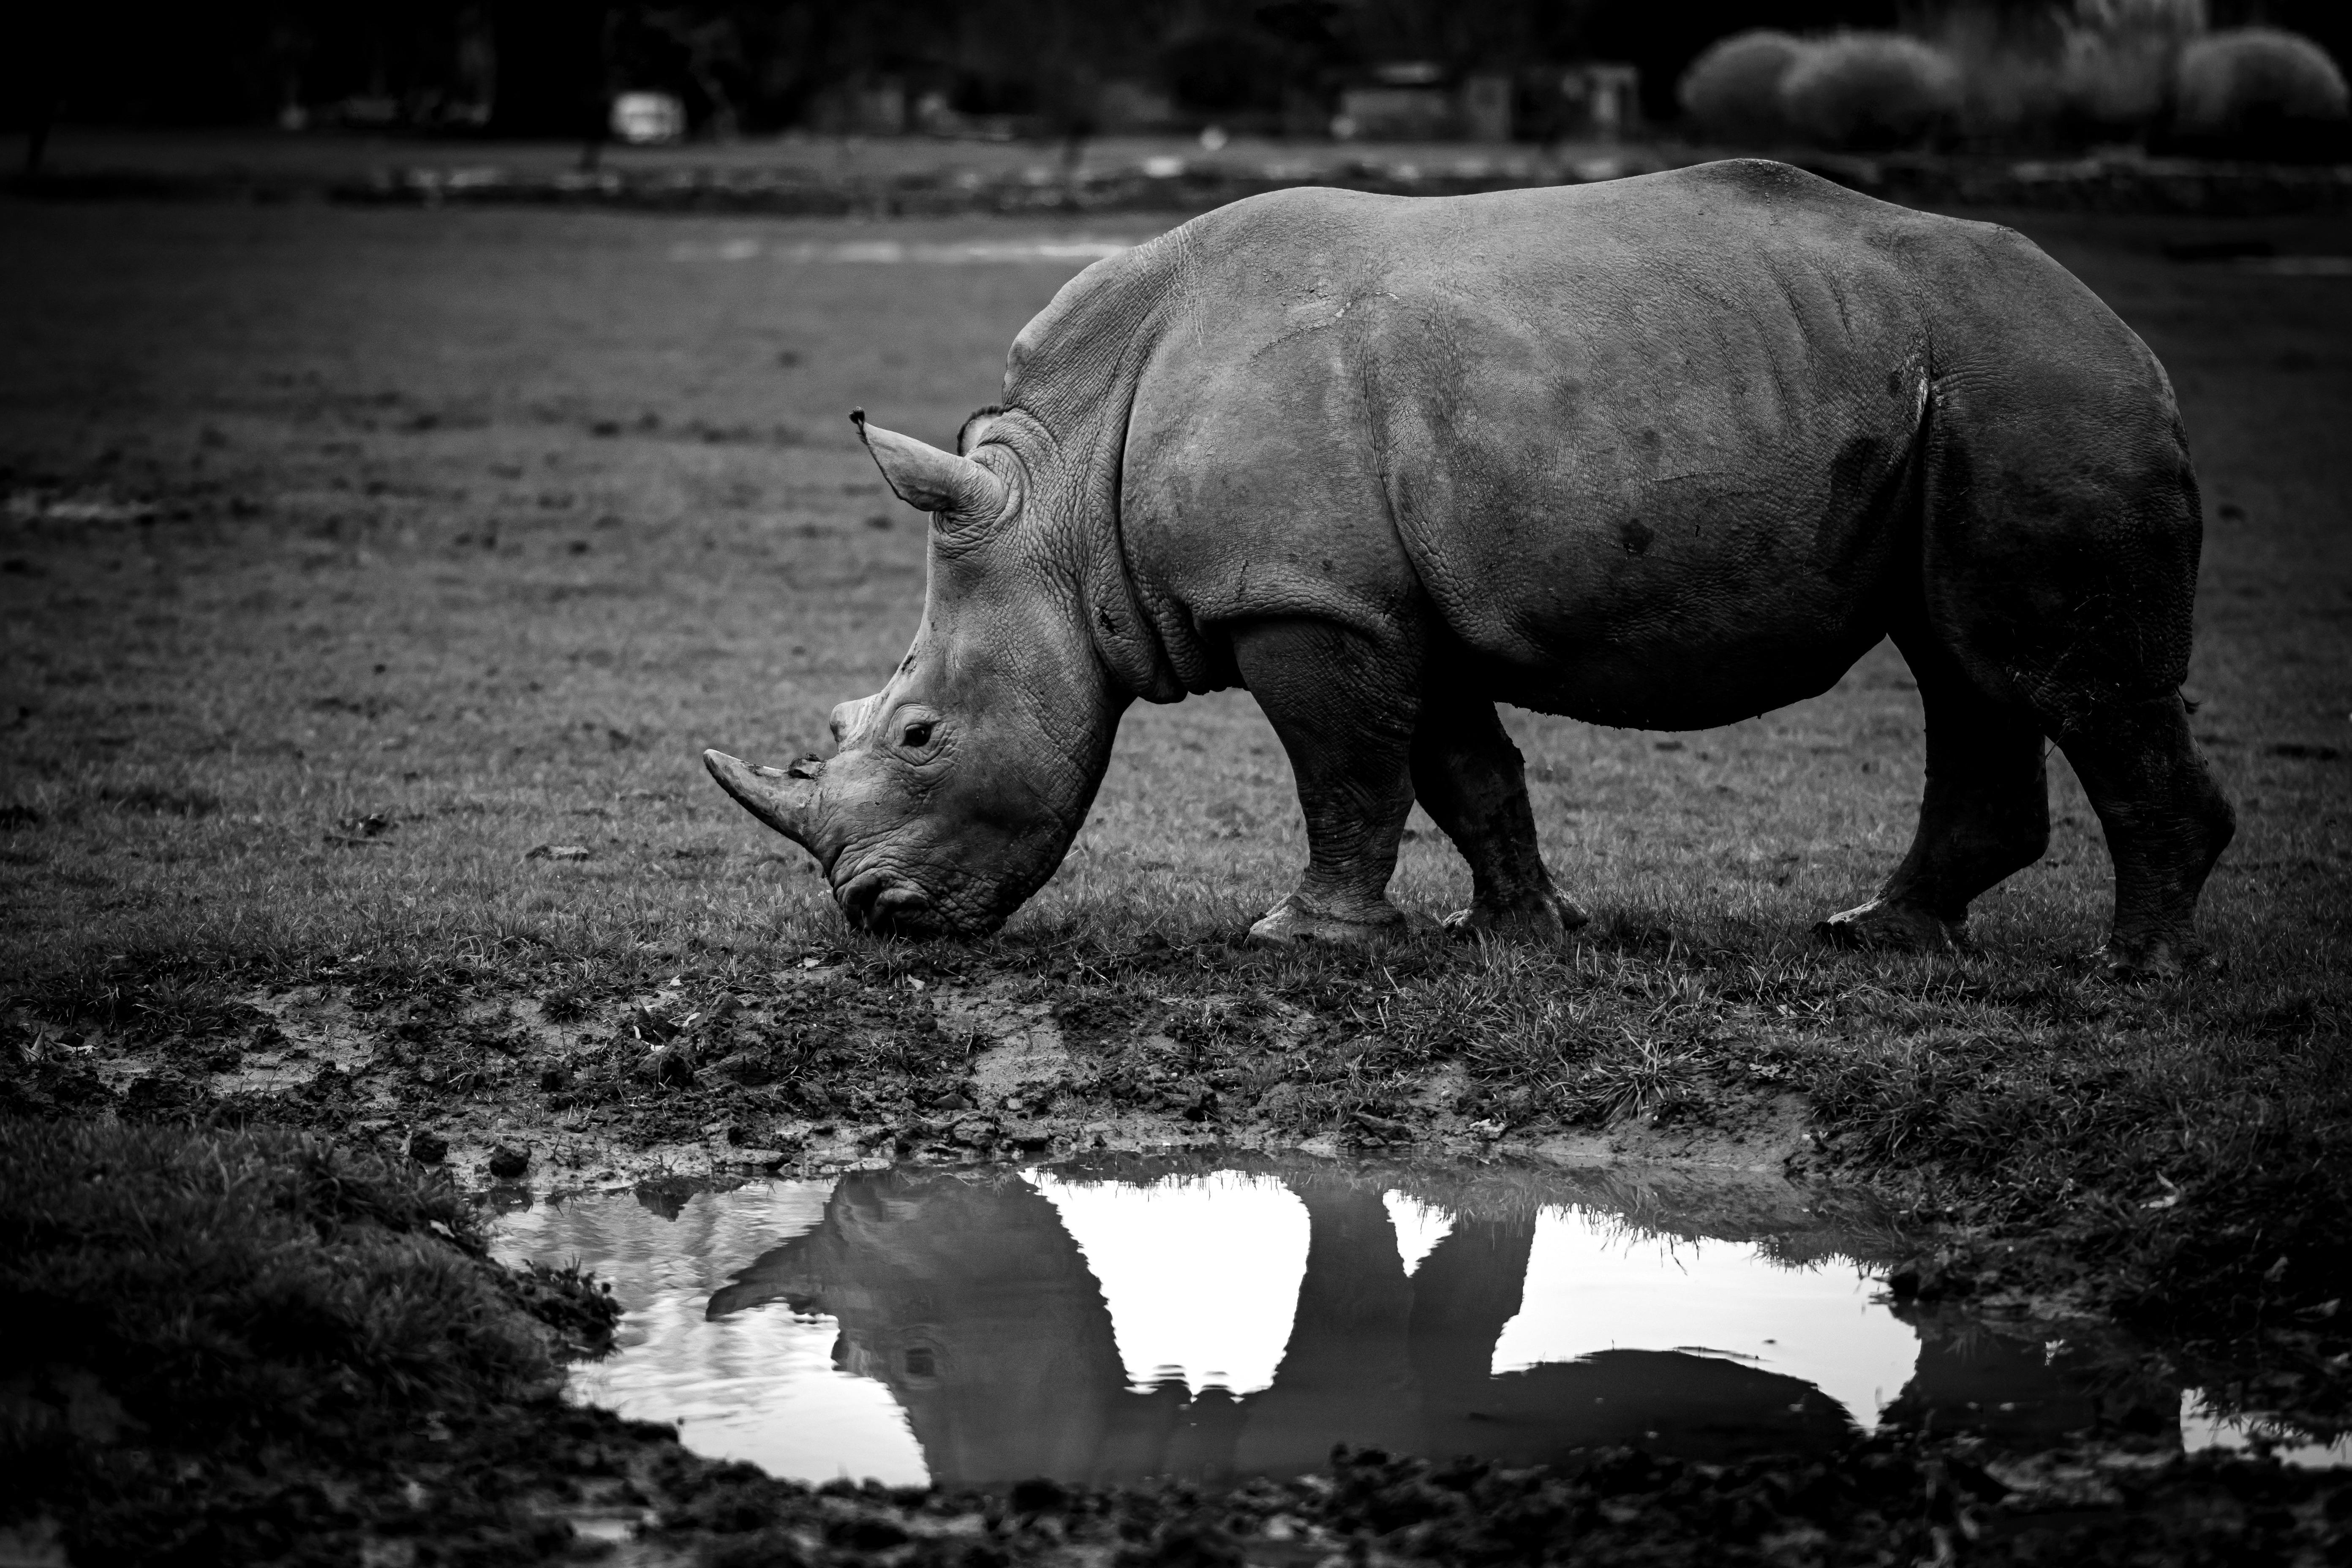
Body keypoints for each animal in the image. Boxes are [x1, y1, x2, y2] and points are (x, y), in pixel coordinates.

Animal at [706, 159, 2234, 974]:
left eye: (916, 733)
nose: (876, 919)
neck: (1061, 493)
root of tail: (2125, 331)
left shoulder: (1304, 600)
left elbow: (1345, 772)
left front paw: (1301, 939)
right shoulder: (1379, 597)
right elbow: (1462, 769)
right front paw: (1524, 934)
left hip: (2035, 389)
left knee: (2057, 676)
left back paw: (2129, 969)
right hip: (1958, 391)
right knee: (1961, 659)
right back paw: (1875, 934)